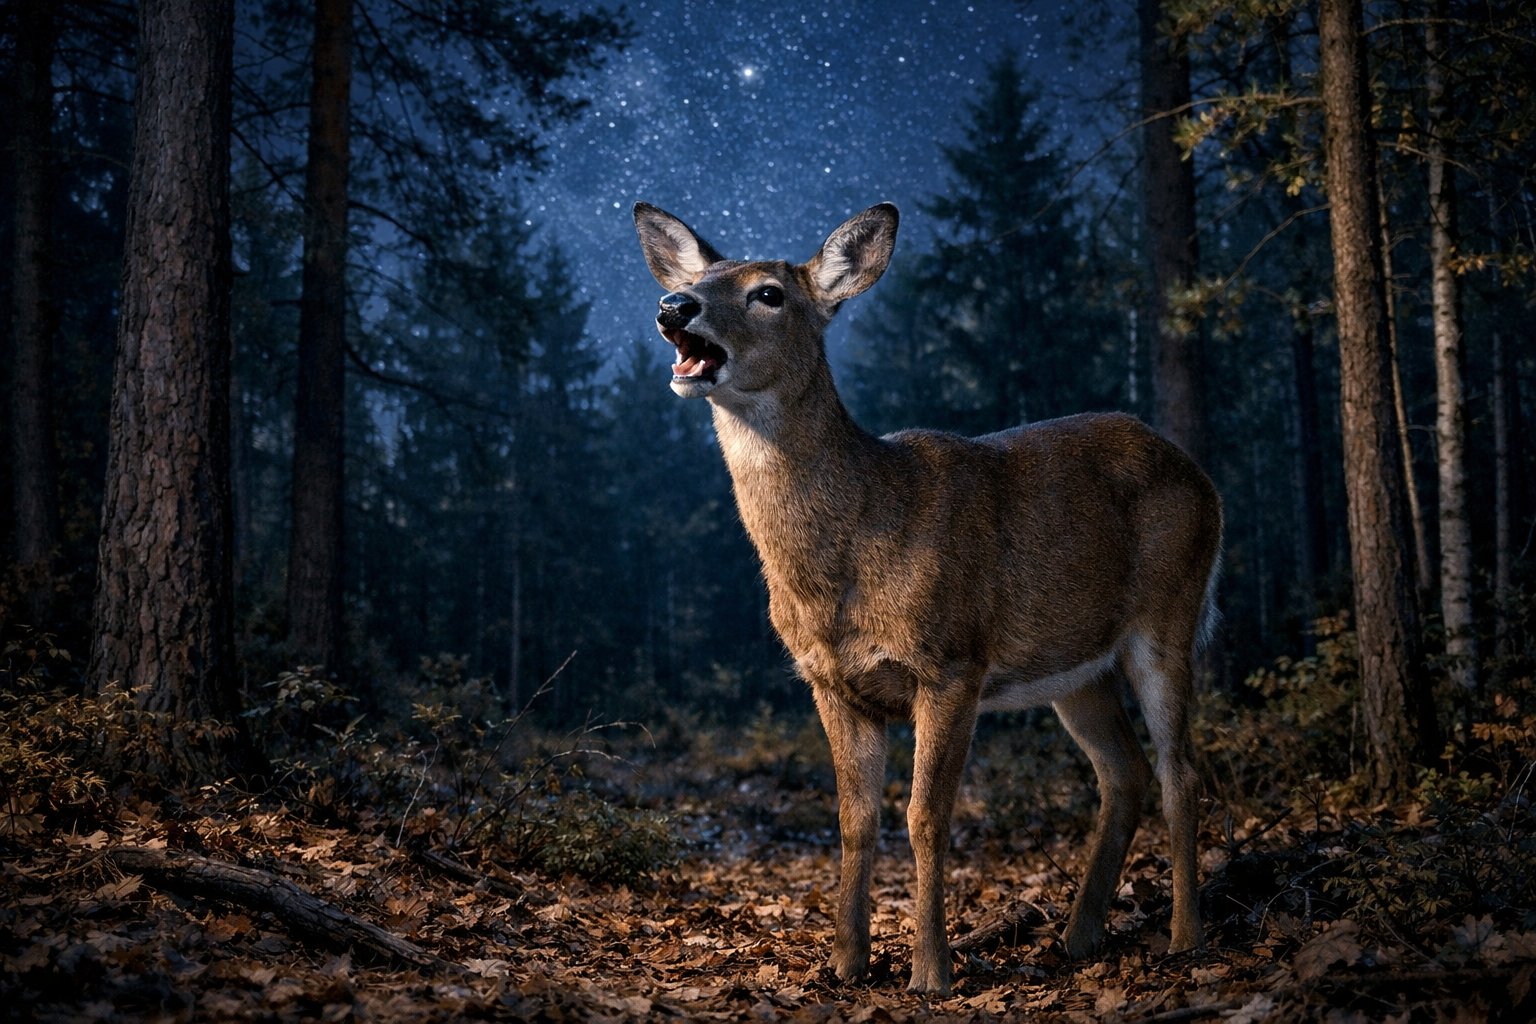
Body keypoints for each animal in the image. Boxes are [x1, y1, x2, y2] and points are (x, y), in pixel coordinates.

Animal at [632, 200, 1223, 995]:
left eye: (768, 293)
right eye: (699, 278)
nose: (674, 305)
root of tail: (1203, 478)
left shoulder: (951, 661)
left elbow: (926, 817)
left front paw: (930, 972)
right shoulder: (830, 681)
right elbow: (854, 820)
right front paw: (846, 963)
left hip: (1169, 611)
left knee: (1180, 770)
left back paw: (1185, 938)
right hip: (1076, 668)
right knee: (1123, 772)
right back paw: (1078, 936)